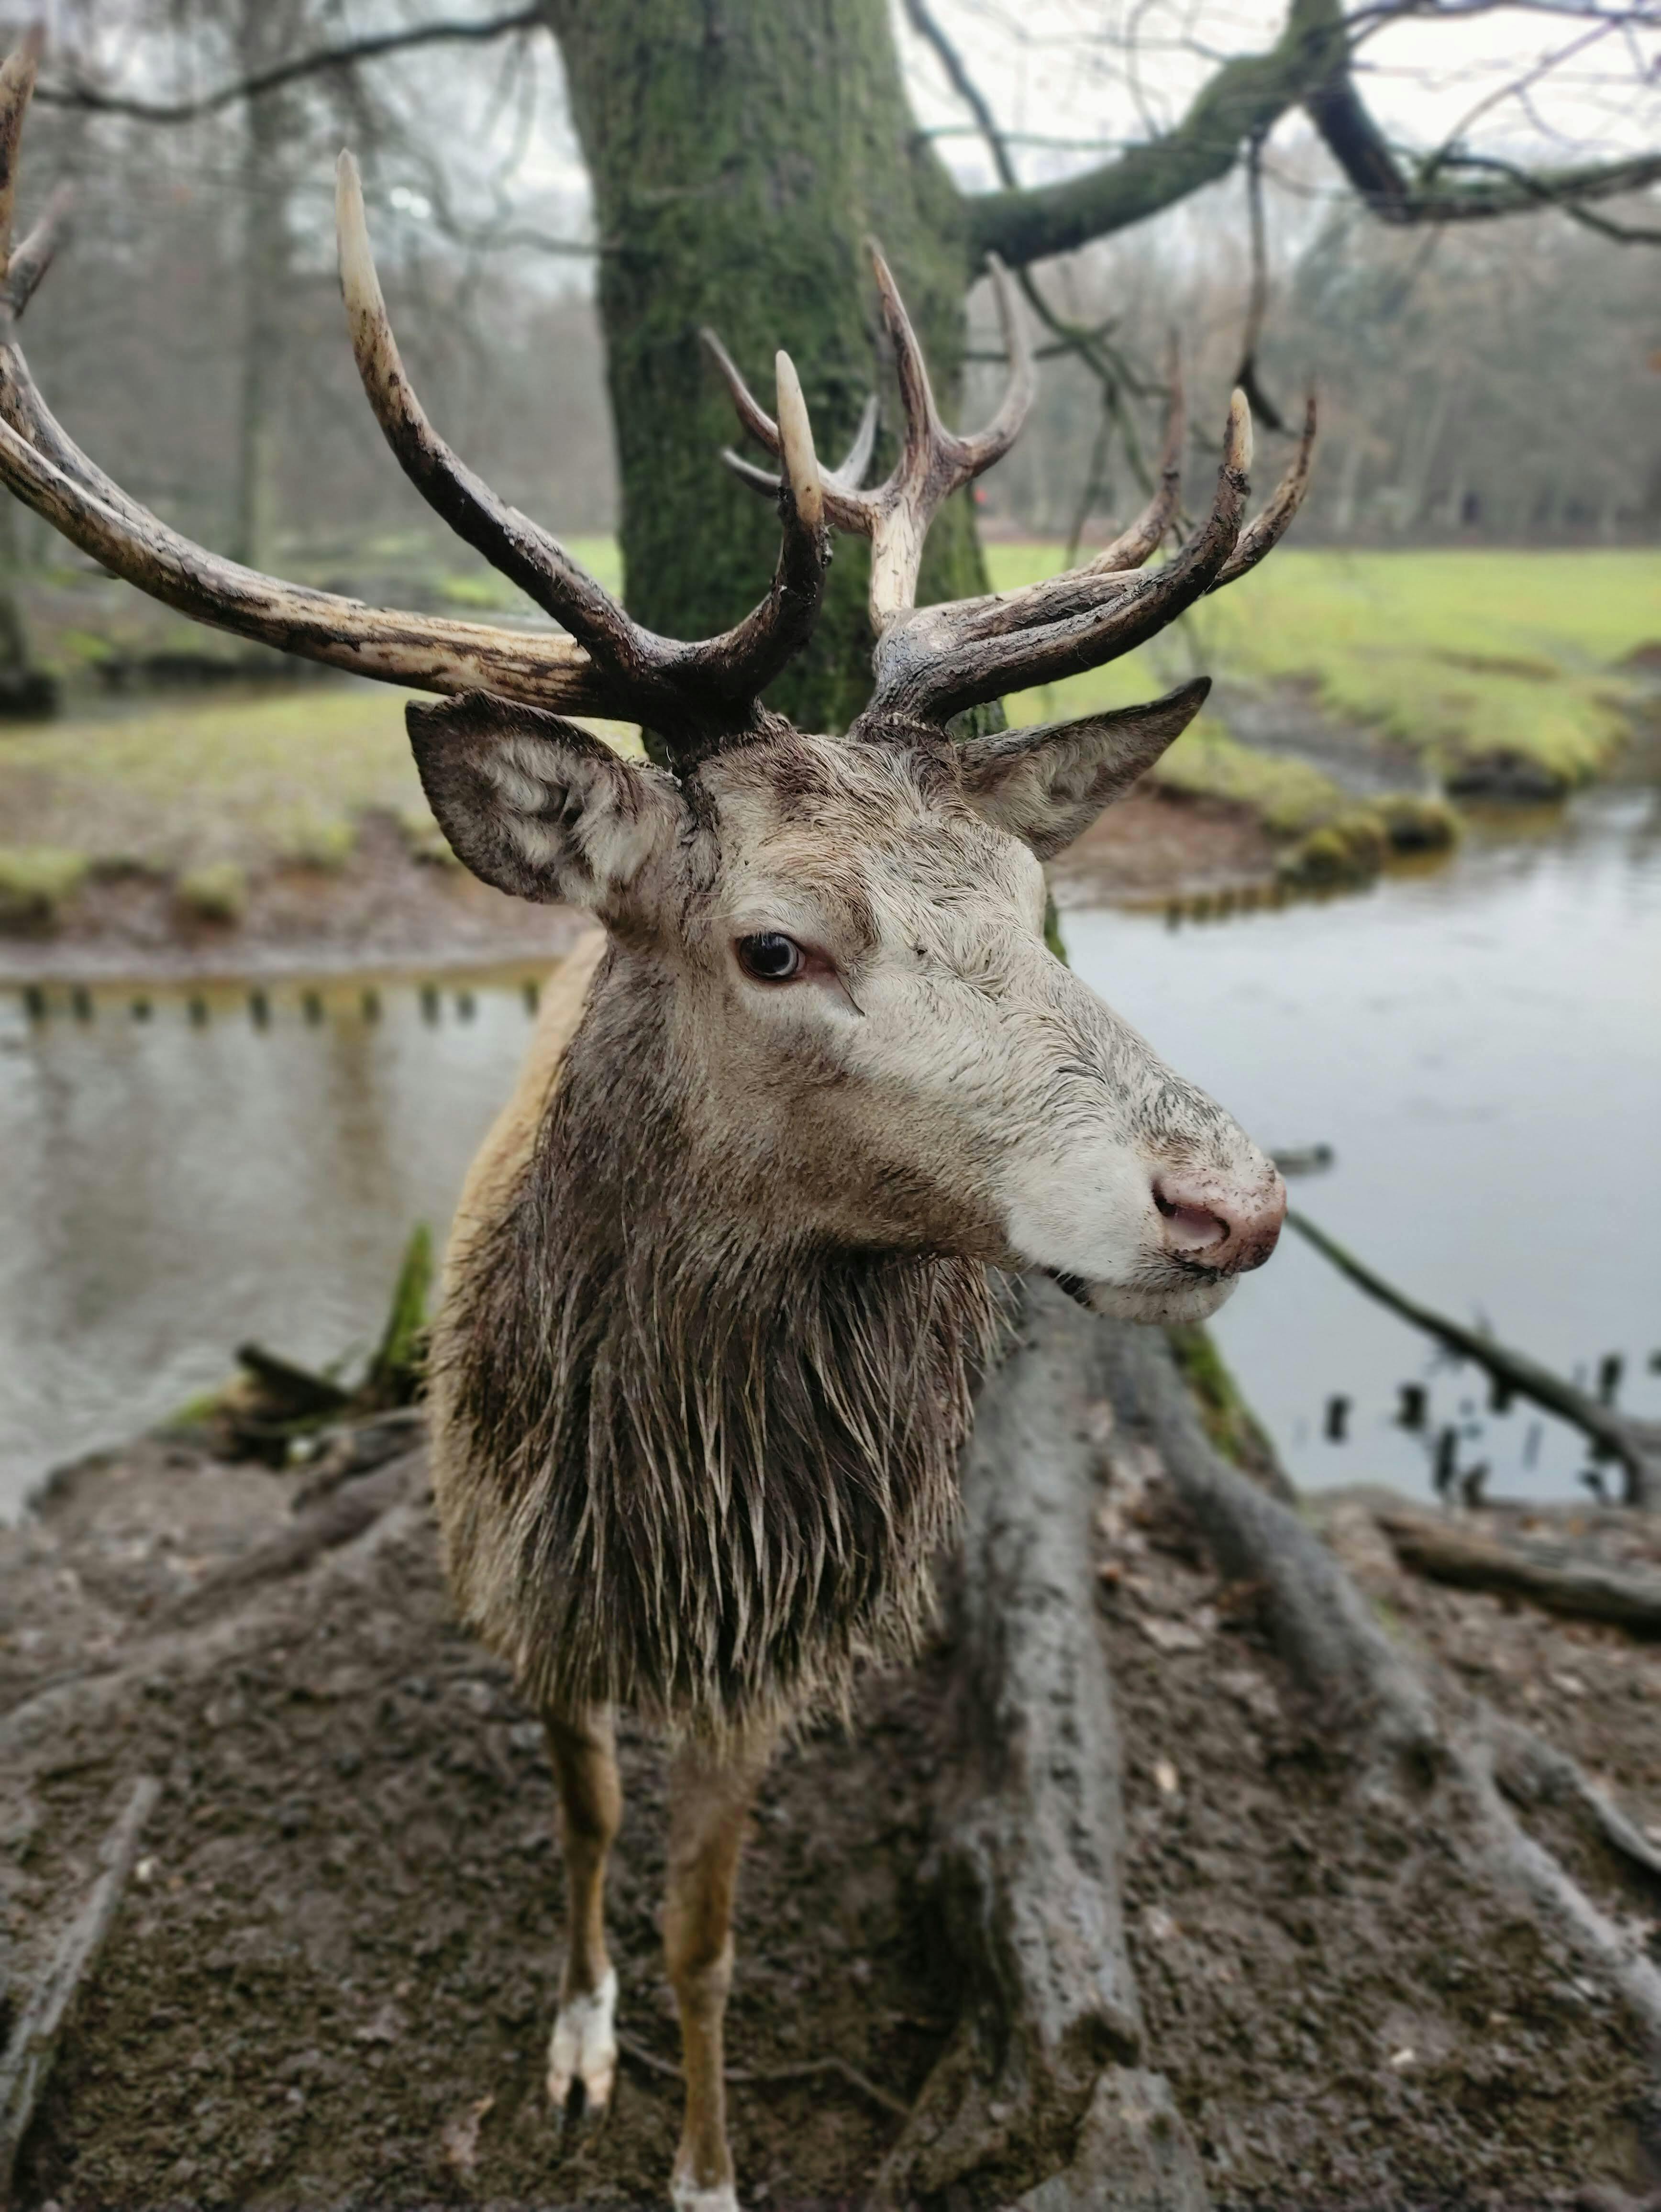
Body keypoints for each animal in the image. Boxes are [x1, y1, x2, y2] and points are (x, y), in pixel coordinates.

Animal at [0, 39, 1313, 2212]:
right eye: (774, 943)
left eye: (1029, 898)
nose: (1230, 1198)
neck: (656, 1512)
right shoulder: (511, 1572)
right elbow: (586, 1823)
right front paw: (573, 2036)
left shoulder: (763, 1641)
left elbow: (709, 1919)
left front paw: (701, 2152)